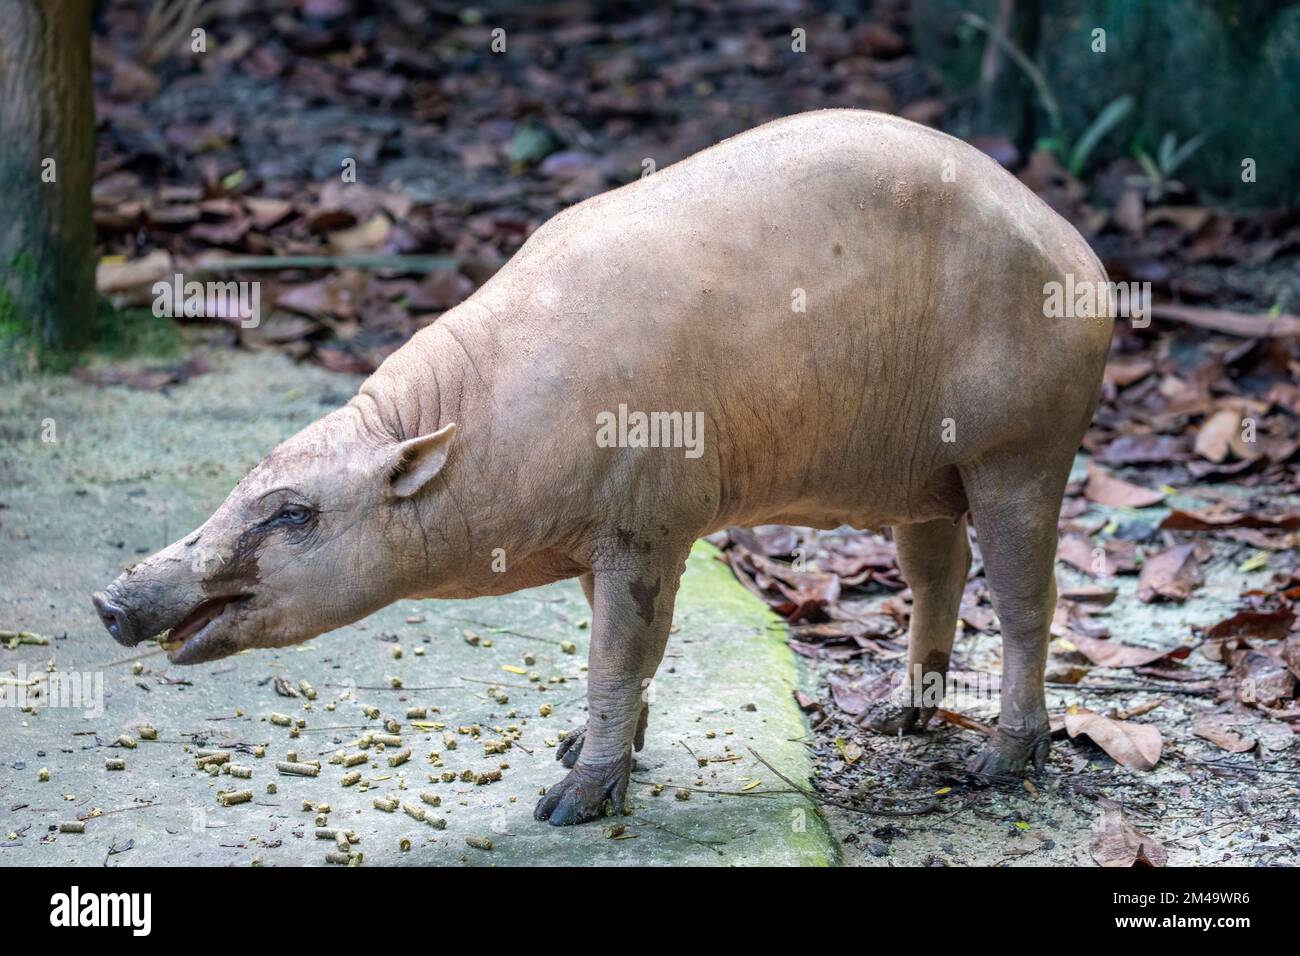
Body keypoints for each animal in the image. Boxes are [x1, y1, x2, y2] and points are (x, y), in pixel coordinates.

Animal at [93, 110, 1114, 825]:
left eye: (294, 514)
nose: (108, 600)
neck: (480, 435)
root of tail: (1087, 261)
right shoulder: (607, 540)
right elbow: (625, 648)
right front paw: (587, 749)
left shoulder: (651, 526)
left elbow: (619, 653)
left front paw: (572, 801)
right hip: (922, 478)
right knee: (937, 570)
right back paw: (896, 719)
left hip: (1020, 452)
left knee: (1028, 600)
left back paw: (997, 764)